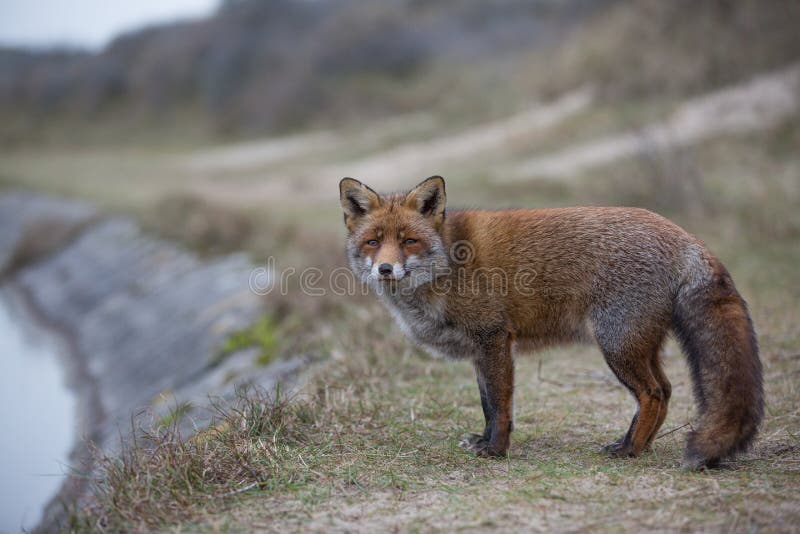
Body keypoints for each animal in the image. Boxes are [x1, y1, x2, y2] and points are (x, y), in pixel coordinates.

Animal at [338, 175, 763, 469]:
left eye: (408, 240)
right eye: (373, 242)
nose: (385, 269)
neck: (448, 264)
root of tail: (682, 235)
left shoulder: (495, 339)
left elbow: (501, 406)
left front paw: (497, 451)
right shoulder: (480, 351)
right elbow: (487, 405)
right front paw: (484, 441)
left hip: (617, 345)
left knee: (653, 393)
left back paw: (628, 450)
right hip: (638, 345)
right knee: (668, 390)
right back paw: (638, 445)